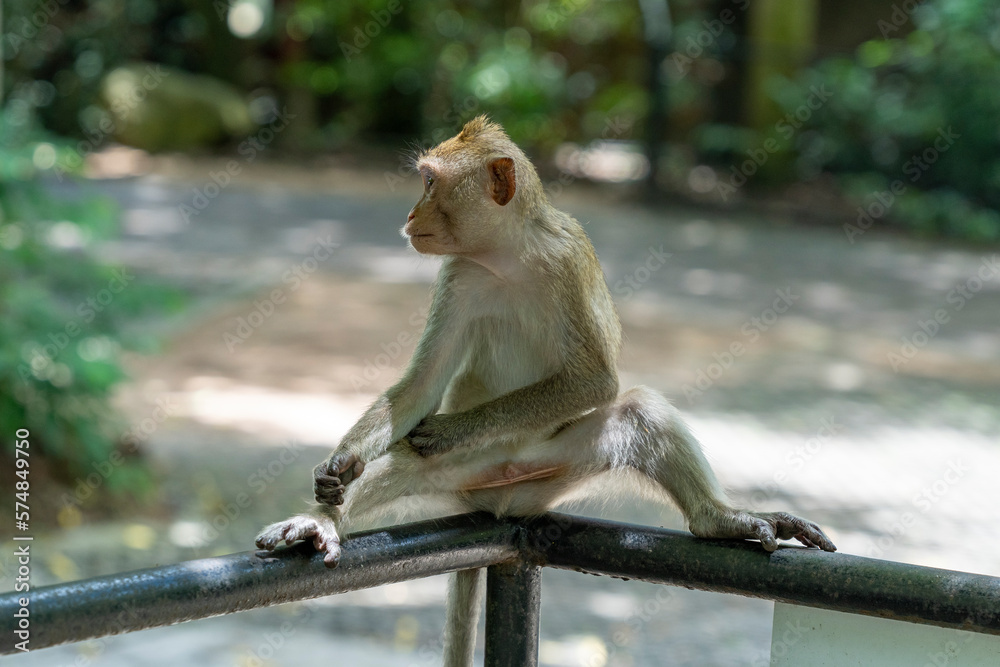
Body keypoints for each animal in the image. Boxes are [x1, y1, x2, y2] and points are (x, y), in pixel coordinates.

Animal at [255, 115, 836, 667]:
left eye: (429, 181)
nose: (410, 216)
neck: (506, 257)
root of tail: (503, 500)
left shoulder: (567, 259)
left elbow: (597, 380)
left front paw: (449, 429)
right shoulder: (457, 274)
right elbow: (420, 386)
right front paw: (343, 461)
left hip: (553, 467)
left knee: (640, 412)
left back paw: (718, 521)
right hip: (465, 475)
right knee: (407, 462)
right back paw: (321, 522)